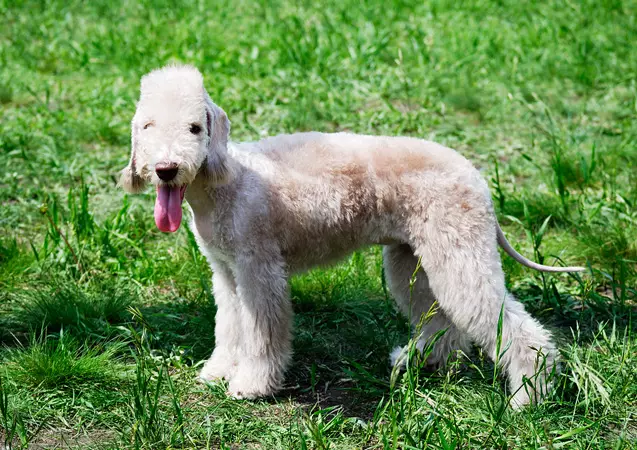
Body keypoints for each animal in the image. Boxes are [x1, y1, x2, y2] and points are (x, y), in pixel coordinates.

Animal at [119, 64, 580, 408]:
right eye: (147, 126)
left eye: (195, 128)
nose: (166, 169)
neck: (228, 182)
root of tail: (476, 176)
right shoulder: (226, 273)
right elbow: (229, 327)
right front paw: (216, 373)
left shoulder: (259, 270)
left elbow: (263, 333)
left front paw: (251, 385)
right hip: (412, 259)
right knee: (441, 321)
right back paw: (419, 362)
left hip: (459, 252)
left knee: (513, 328)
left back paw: (527, 398)